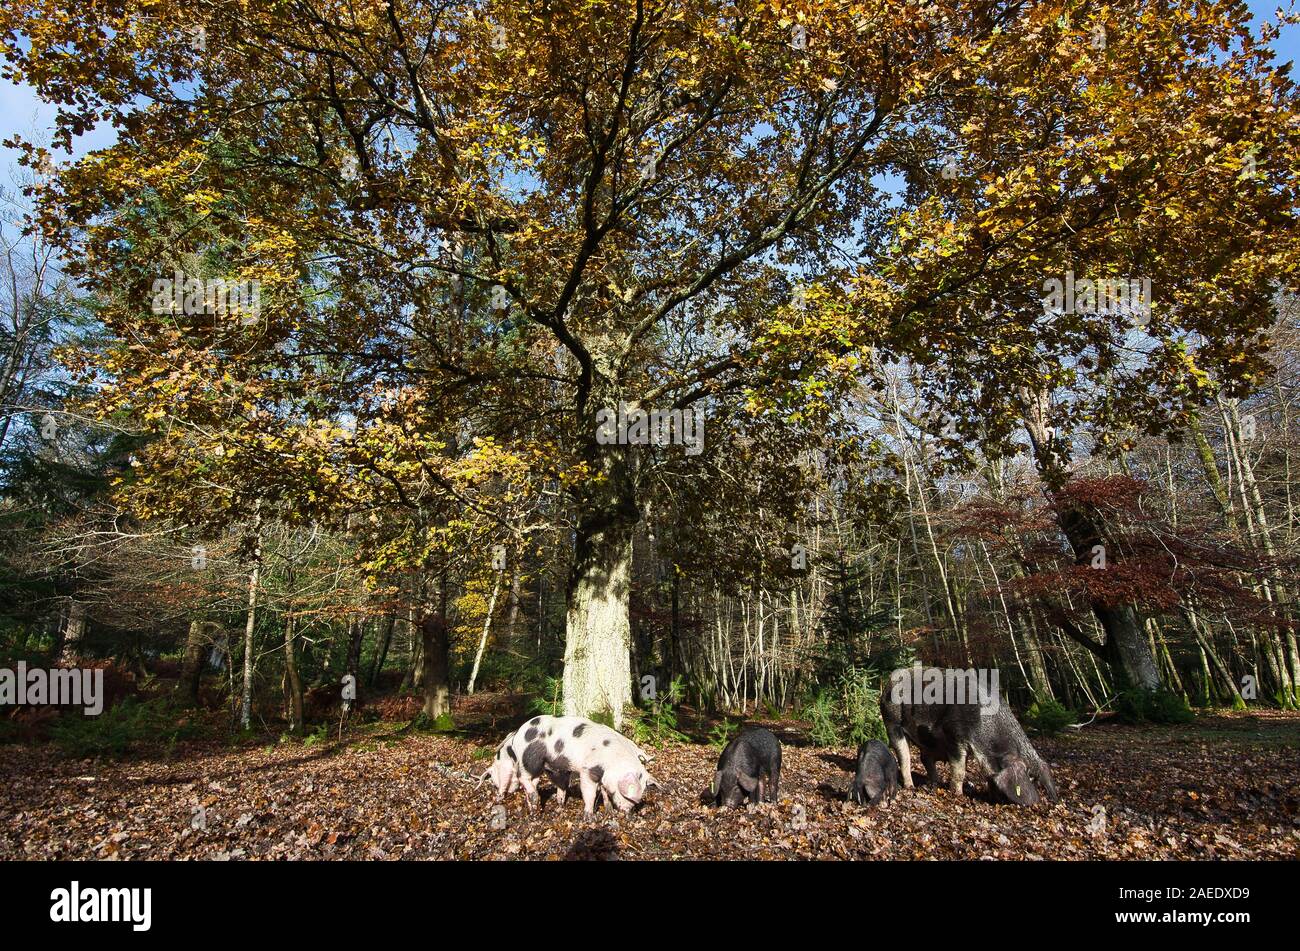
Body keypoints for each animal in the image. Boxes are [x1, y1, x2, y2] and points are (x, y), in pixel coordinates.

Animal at [881, 667, 1058, 805]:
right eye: (1029, 775)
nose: (1035, 802)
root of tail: (887, 684)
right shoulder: (953, 734)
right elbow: (960, 770)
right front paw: (958, 795)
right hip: (892, 722)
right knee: (905, 758)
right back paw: (910, 786)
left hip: (928, 741)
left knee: (925, 759)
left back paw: (934, 784)